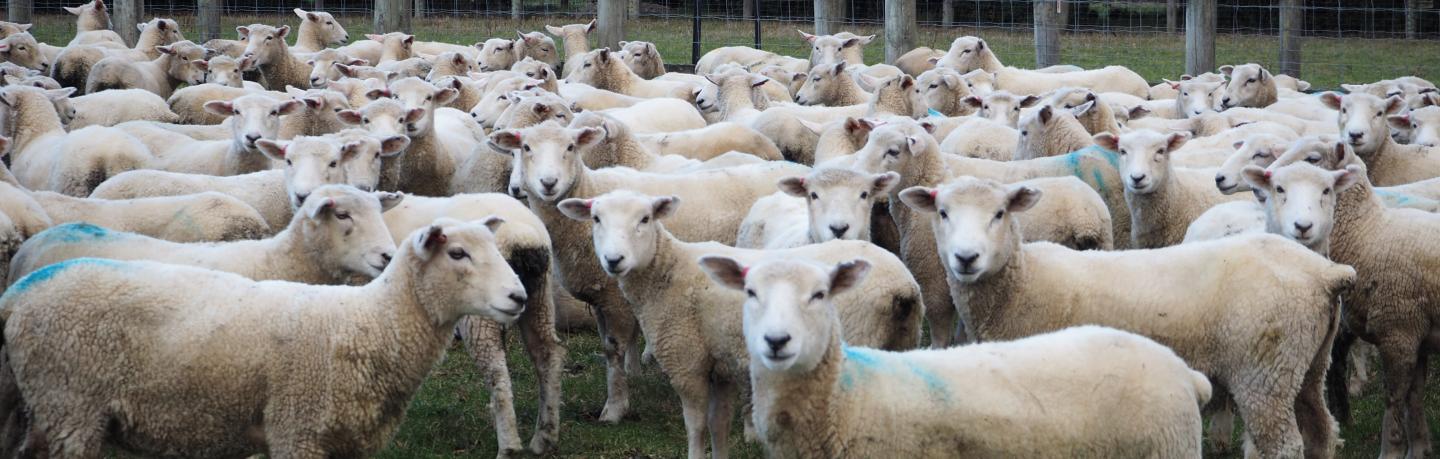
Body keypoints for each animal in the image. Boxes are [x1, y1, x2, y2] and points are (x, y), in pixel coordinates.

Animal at [0, 218, 528, 458]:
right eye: (457, 254)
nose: (519, 296)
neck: (369, 323)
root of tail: (17, 293)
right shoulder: (298, 429)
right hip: (71, 406)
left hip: (41, 406)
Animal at [558, 190, 921, 459]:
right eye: (596, 218)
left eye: (645, 219)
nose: (613, 260)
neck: (668, 271)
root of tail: (902, 287)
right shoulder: (721, 366)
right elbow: (718, 425)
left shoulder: (687, 361)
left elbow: (696, 426)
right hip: (904, 343)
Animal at [702, 255, 1209, 458]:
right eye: (750, 292)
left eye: (820, 294)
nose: (777, 341)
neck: (847, 402)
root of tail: (1183, 370)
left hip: (1169, 448)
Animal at [899, 177, 1352, 458]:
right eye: (942, 212)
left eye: (1000, 213)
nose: (966, 258)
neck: (1022, 284)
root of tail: (1325, 273)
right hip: (1307, 363)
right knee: (1323, 431)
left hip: (1265, 371)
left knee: (1284, 444)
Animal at [1259, 140, 1440, 457]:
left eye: (1313, 159)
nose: (1264, 184)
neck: (1367, 233)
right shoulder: (1415, 331)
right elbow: (1414, 397)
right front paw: (1419, 448)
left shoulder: (1398, 332)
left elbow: (1394, 398)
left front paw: (1391, 450)